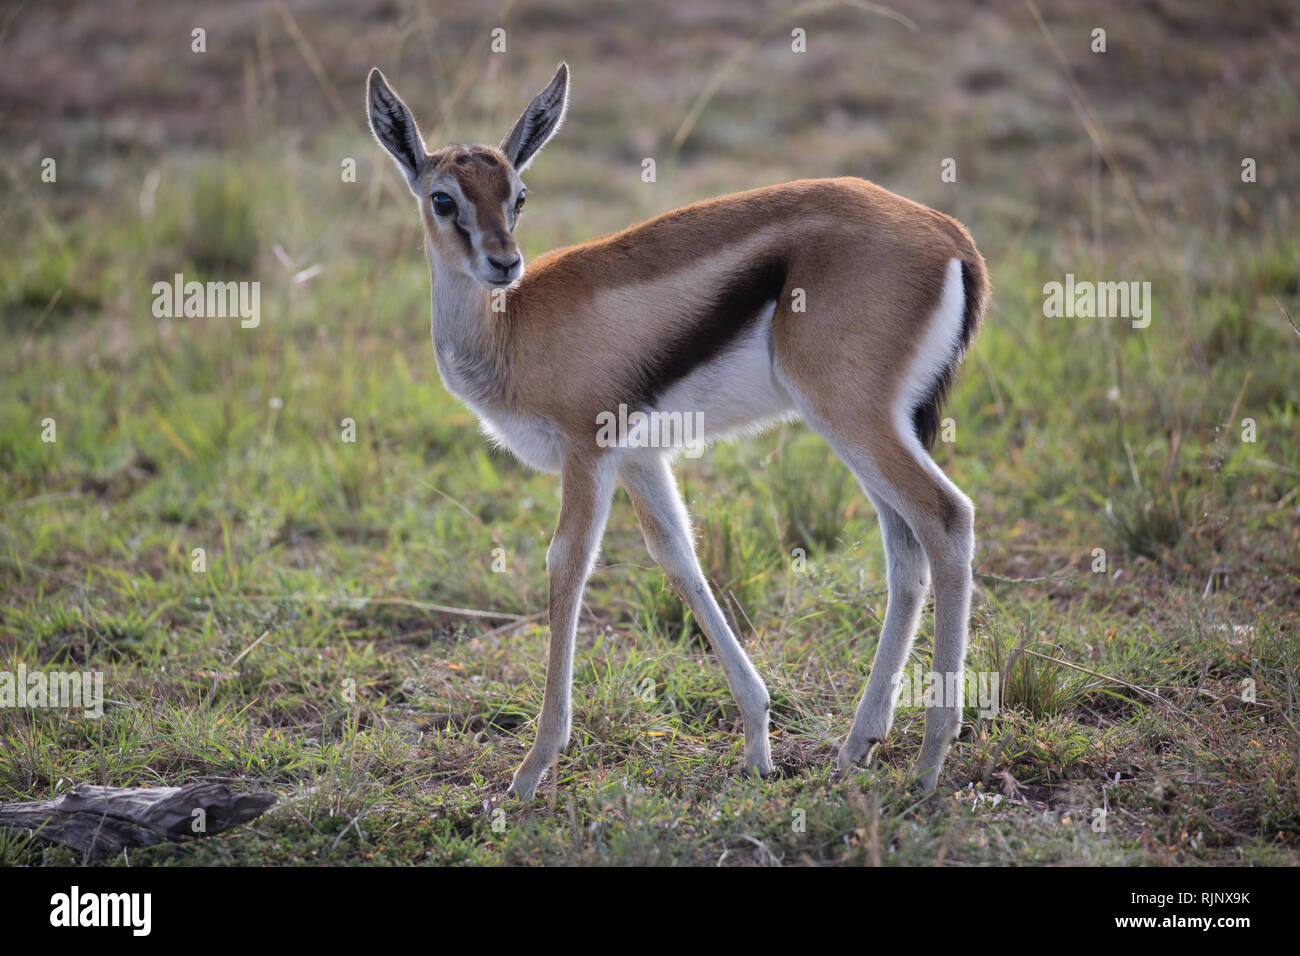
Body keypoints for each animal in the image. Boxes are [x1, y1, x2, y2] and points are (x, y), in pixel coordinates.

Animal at [367, 63, 990, 800]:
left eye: (518, 194)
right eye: (443, 199)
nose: (503, 262)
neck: (509, 328)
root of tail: (950, 234)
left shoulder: (588, 455)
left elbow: (567, 563)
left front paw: (530, 770)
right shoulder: (640, 462)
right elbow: (679, 559)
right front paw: (757, 745)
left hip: (853, 419)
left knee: (946, 518)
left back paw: (929, 761)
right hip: (869, 430)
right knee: (906, 548)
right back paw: (856, 747)